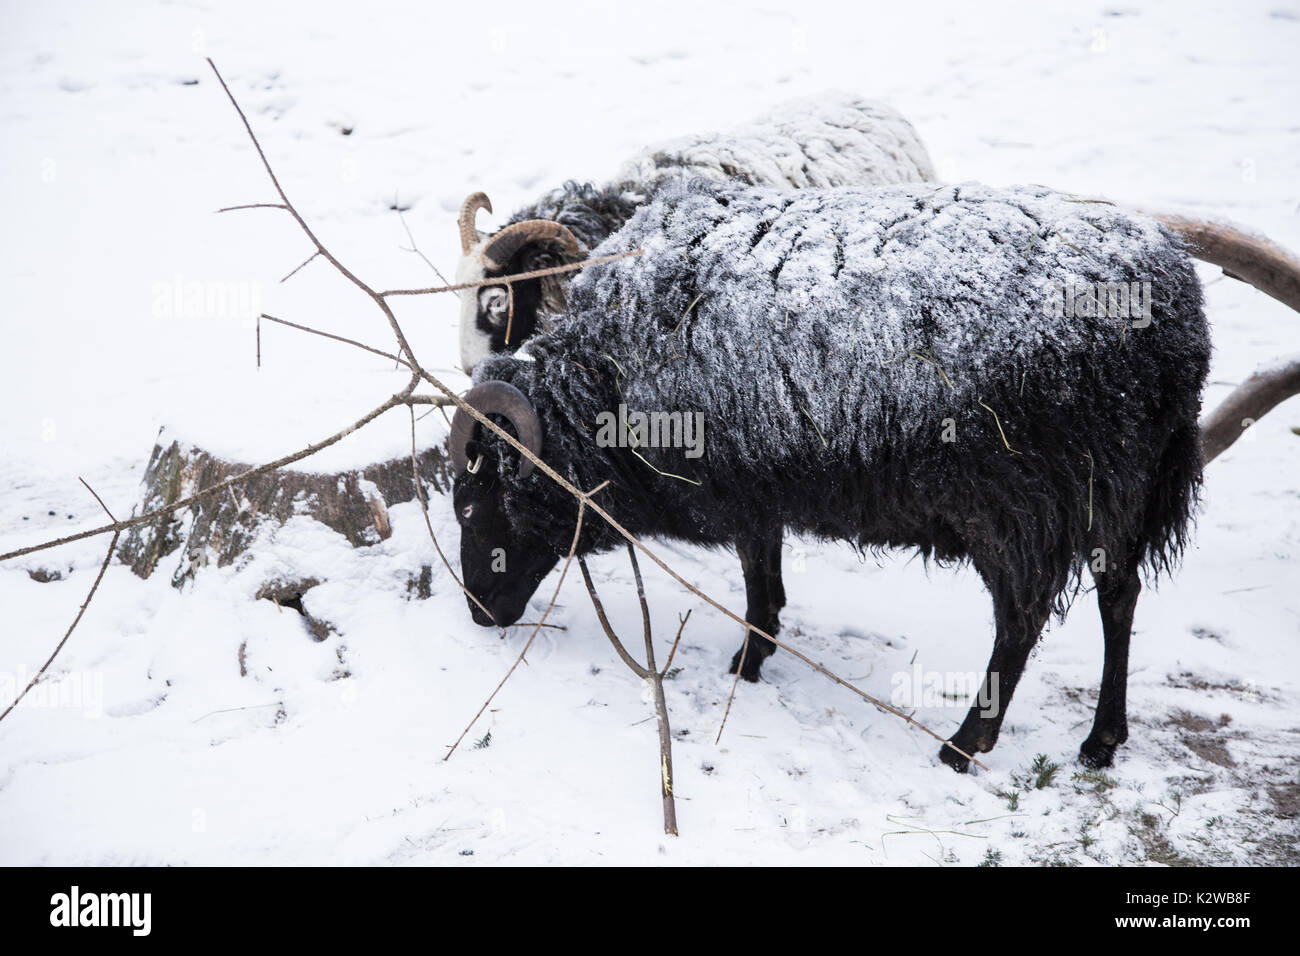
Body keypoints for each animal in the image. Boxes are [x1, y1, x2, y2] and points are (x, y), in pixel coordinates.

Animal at [446, 177, 1215, 772]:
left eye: (473, 505)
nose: (479, 615)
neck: (604, 383)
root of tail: (1176, 319)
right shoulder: (760, 486)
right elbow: (767, 570)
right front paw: (759, 651)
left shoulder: (739, 487)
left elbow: (757, 575)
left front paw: (747, 661)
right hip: (1119, 490)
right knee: (1119, 596)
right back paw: (1102, 740)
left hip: (1021, 504)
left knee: (1020, 624)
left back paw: (965, 743)